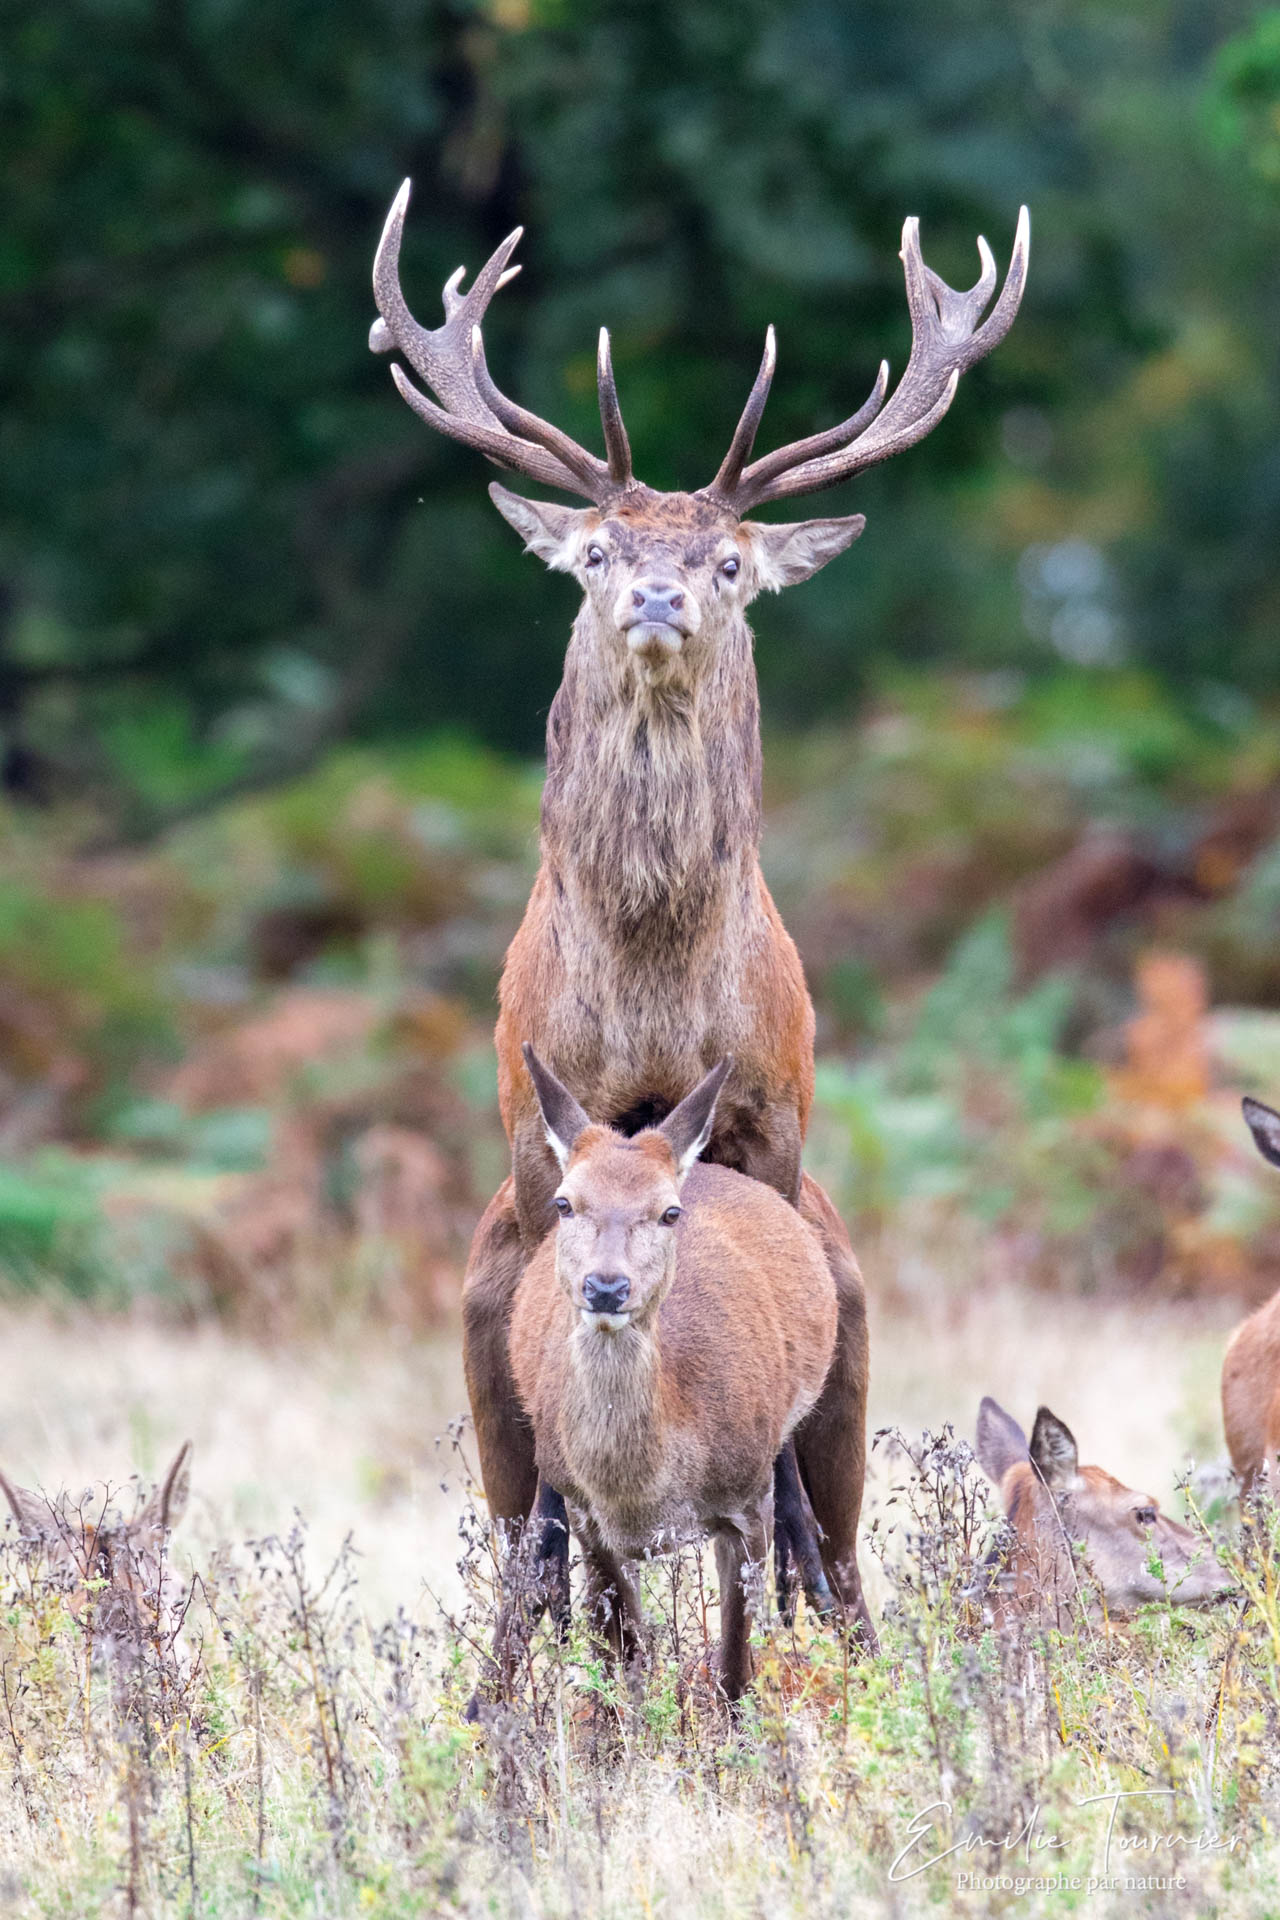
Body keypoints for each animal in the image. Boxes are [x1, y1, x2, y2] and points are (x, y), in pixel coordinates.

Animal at [371, 180, 1029, 1641]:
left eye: (731, 562)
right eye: (596, 550)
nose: (660, 594)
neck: (655, 989)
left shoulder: (777, 1115)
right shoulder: (529, 1132)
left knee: (839, 1547)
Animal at [481, 1048, 836, 1708]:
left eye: (669, 1211)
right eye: (564, 1203)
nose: (606, 1286)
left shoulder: (746, 1500)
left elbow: (734, 1662)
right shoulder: (585, 1514)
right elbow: (627, 1656)